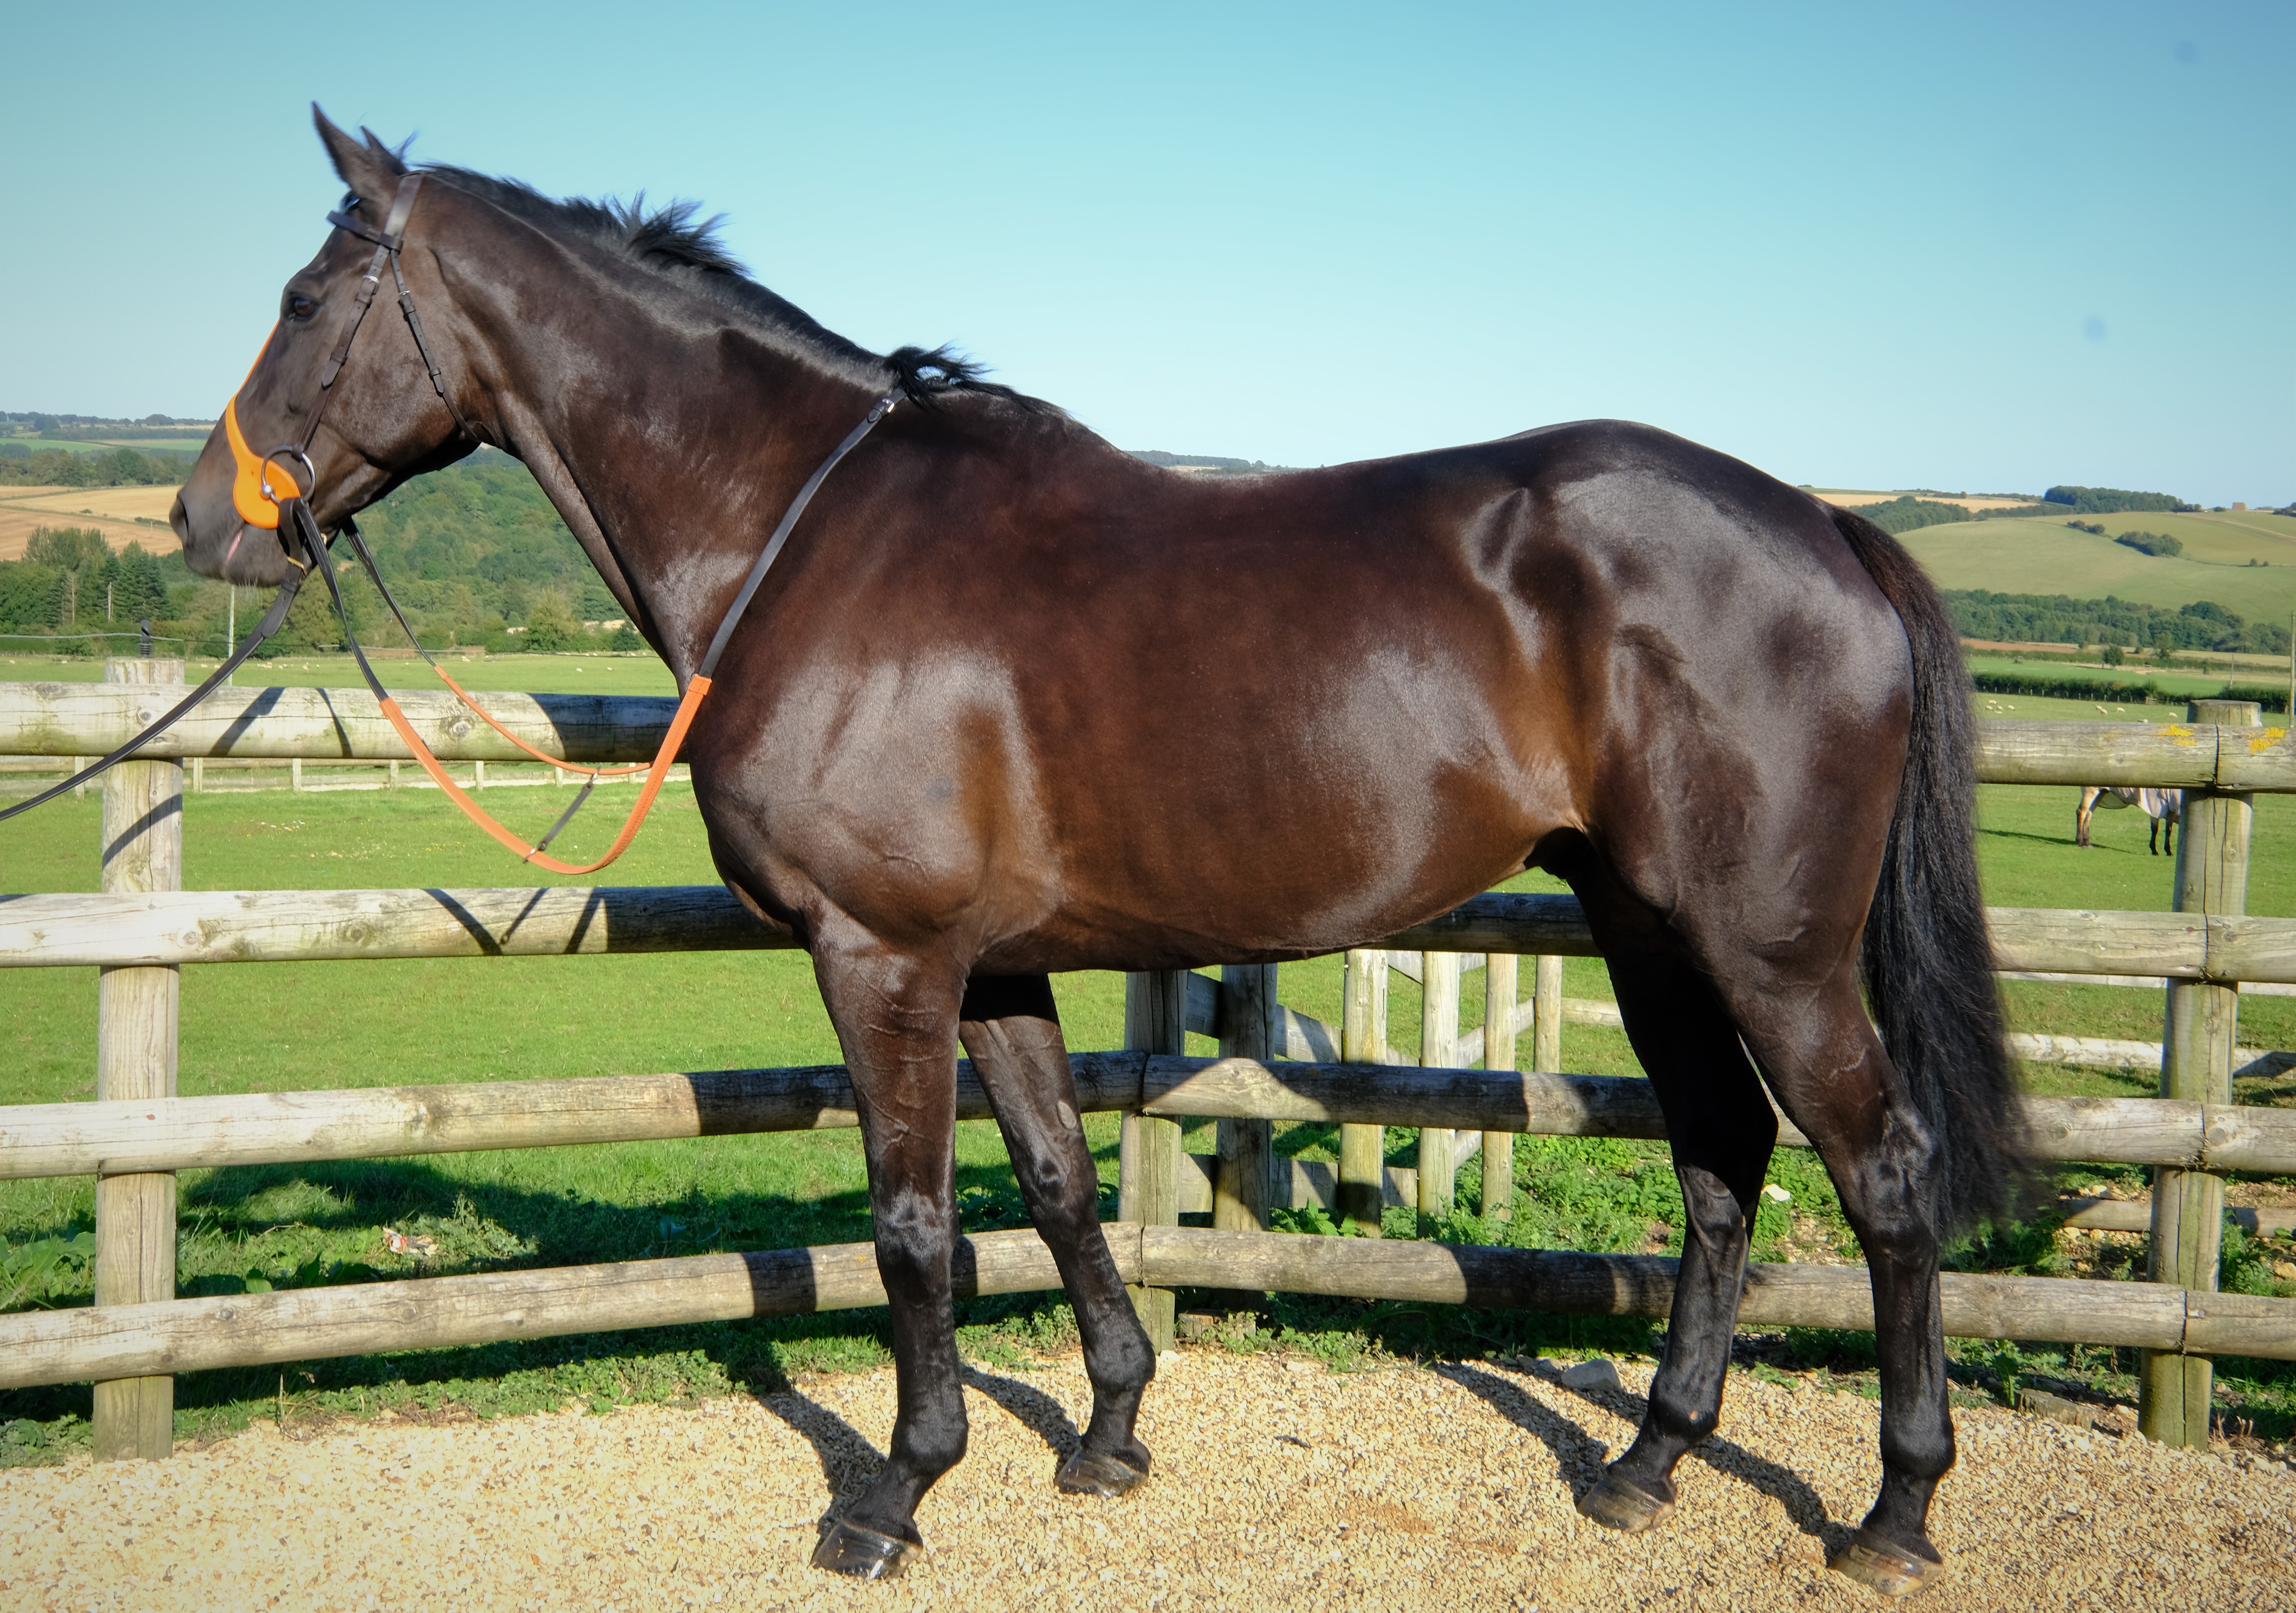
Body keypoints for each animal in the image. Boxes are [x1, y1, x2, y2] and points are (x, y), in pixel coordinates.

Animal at [168, 110, 2020, 1596]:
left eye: (305, 298)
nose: (201, 521)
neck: (808, 533)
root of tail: (1831, 527)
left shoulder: (881, 954)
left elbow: (913, 1219)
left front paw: (894, 1494)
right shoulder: (991, 964)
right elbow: (1056, 1178)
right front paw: (1110, 1429)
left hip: (1770, 951)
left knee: (1880, 1172)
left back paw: (1895, 1510)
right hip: (1647, 930)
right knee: (1719, 1158)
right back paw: (1646, 1461)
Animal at [2075, 785, 2182, 856]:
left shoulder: (2169, 810)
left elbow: (2168, 830)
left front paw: (2165, 851)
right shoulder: (2156, 807)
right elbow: (2156, 830)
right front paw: (2159, 851)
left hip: (2101, 793)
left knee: (2089, 815)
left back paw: (2087, 843)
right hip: (2090, 793)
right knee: (2081, 812)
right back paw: (2081, 842)